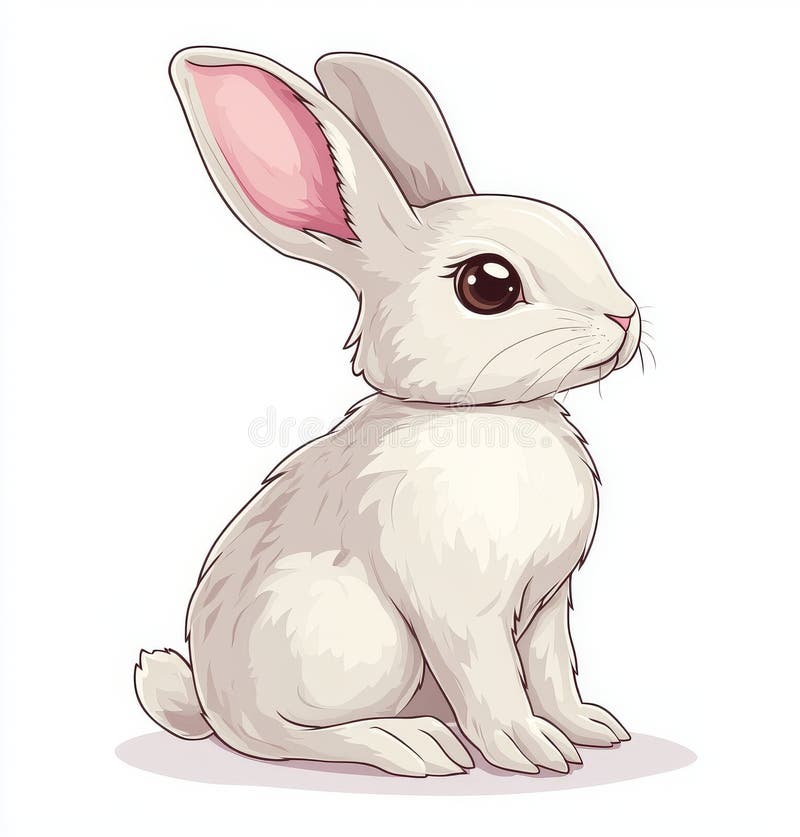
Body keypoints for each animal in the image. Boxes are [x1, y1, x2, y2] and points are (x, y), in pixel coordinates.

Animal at [134, 46, 640, 777]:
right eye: (488, 284)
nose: (625, 316)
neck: (487, 412)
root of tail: (212, 704)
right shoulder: (462, 610)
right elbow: (492, 682)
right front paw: (531, 749)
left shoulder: (549, 606)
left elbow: (553, 673)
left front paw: (590, 728)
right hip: (353, 640)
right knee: (287, 737)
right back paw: (412, 744)